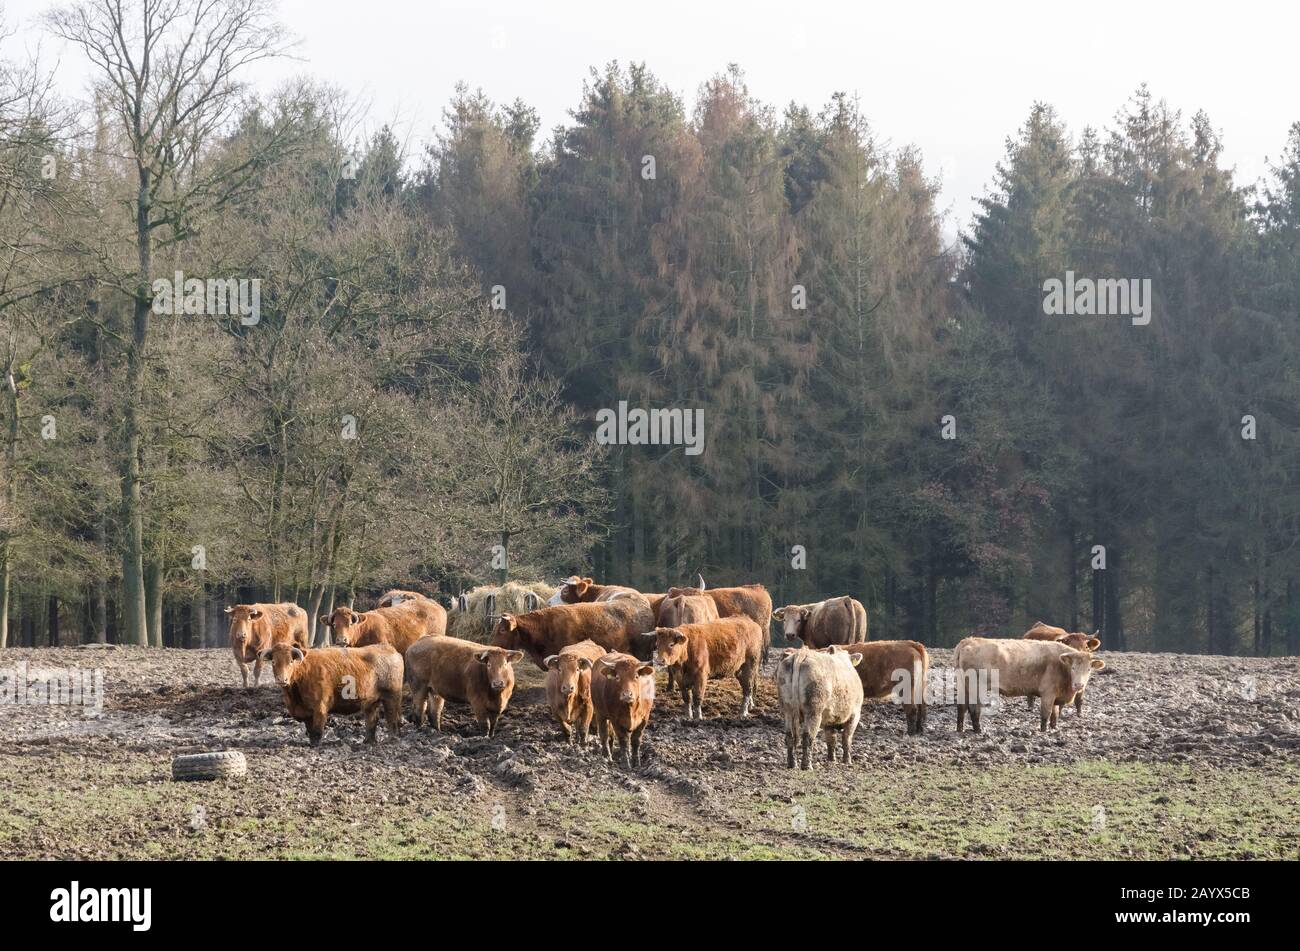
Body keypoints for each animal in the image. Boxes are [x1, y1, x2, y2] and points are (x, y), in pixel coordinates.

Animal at [261, 642, 403, 746]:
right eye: (273, 662)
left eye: (291, 661)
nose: (281, 679)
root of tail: (389, 648)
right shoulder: (306, 711)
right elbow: (310, 729)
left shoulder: (320, 707)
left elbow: (317, 729)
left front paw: (316, 745)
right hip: (370, 702)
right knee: (372, 720)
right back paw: (368, 741)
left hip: (392, 697)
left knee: (392, 718)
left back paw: (391, 739)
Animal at [954, 637, 1105, 733]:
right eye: (1073, 668)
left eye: (1089, 669)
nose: (1079, 685)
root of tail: (968, 640)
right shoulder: (1048, 693)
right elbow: (1046, 713)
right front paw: (1043, 731)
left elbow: (1054, 714)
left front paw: (1054, 729)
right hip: (976, 686)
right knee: (974, 709)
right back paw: (978, 730)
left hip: (962, 685)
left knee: (961, 708)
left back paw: (960, 729)